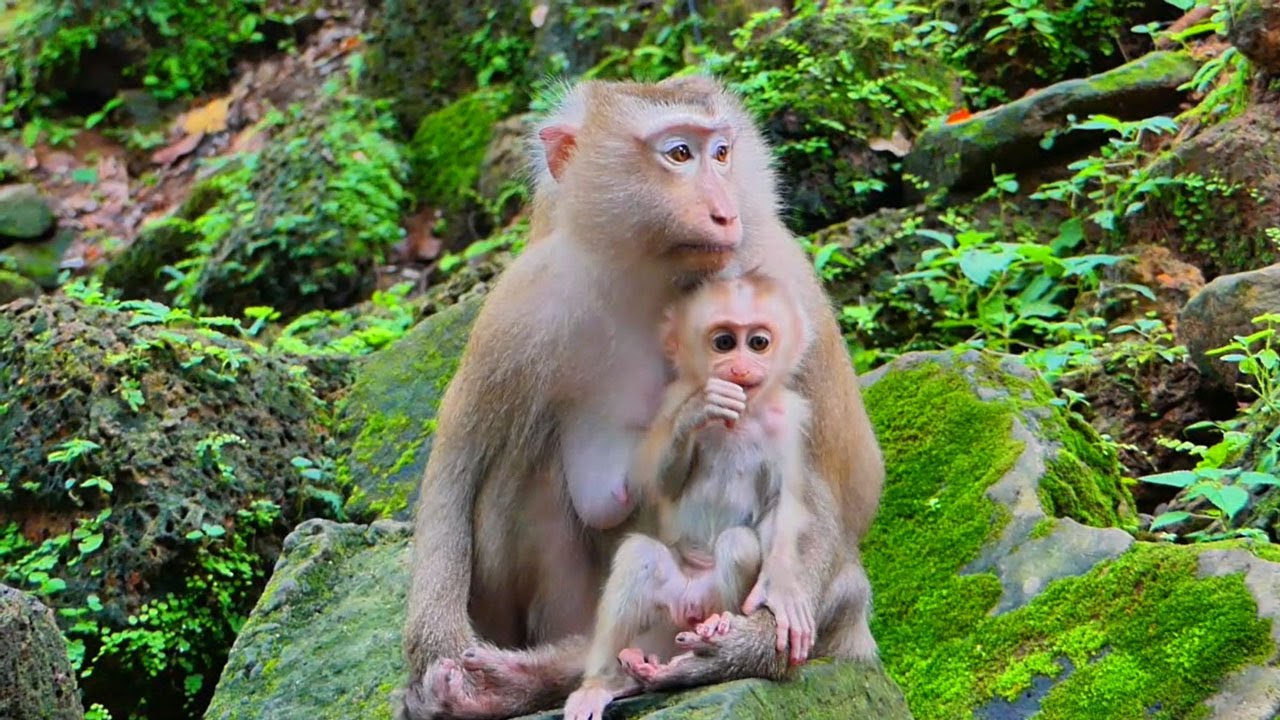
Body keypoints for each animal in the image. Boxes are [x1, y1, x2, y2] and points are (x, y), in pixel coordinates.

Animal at [562, 274, 817, 720]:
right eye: (724, 342)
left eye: (758, 343)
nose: (739, 368)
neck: (742, 417)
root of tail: (690, 602)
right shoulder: (670, 398)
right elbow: (660, 483)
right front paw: (699, 411)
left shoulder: (788, 423)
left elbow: (781, 507)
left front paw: (782, 587)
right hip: (671, 591)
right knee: (639, 557)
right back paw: (602, 683)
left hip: (710, 596)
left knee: (738, 545)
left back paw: (717, 629)